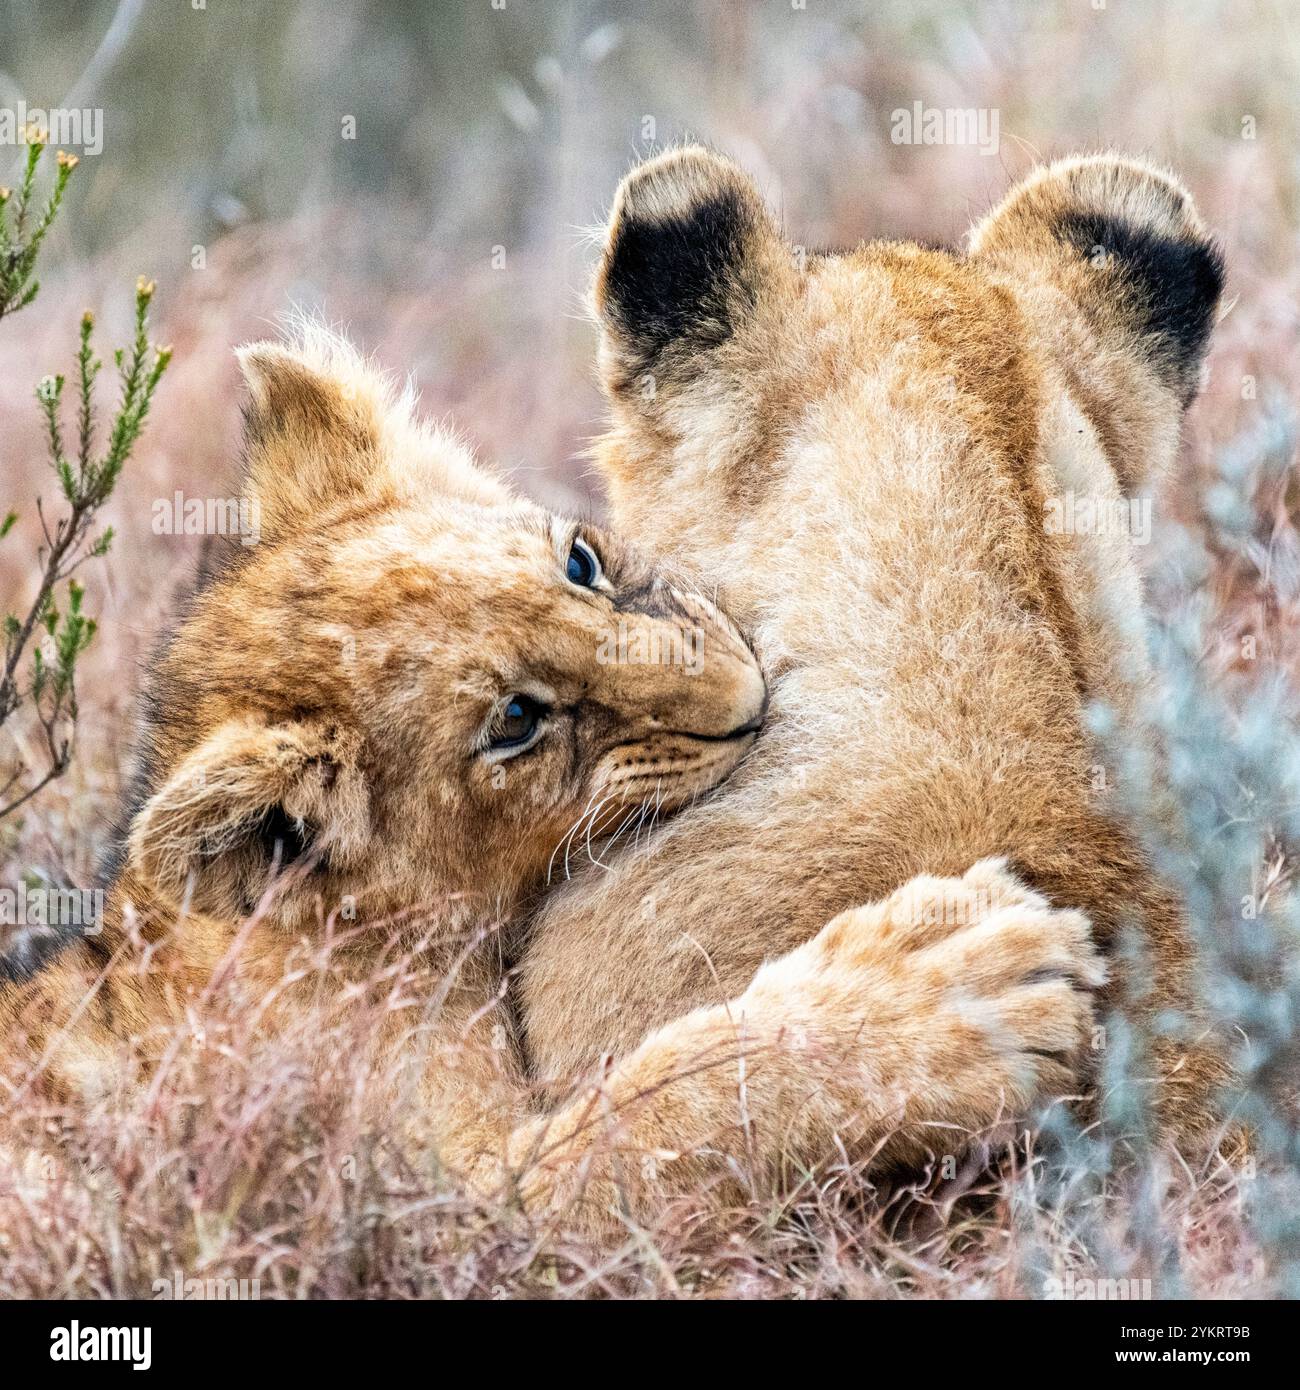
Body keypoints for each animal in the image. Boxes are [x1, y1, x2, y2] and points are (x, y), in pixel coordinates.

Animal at [0, 323, 1100, 1228]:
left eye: (580, 563)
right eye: (517, 722)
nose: (743, 694)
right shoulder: (417, 1207)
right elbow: (669, 1107)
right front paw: (959, 987)